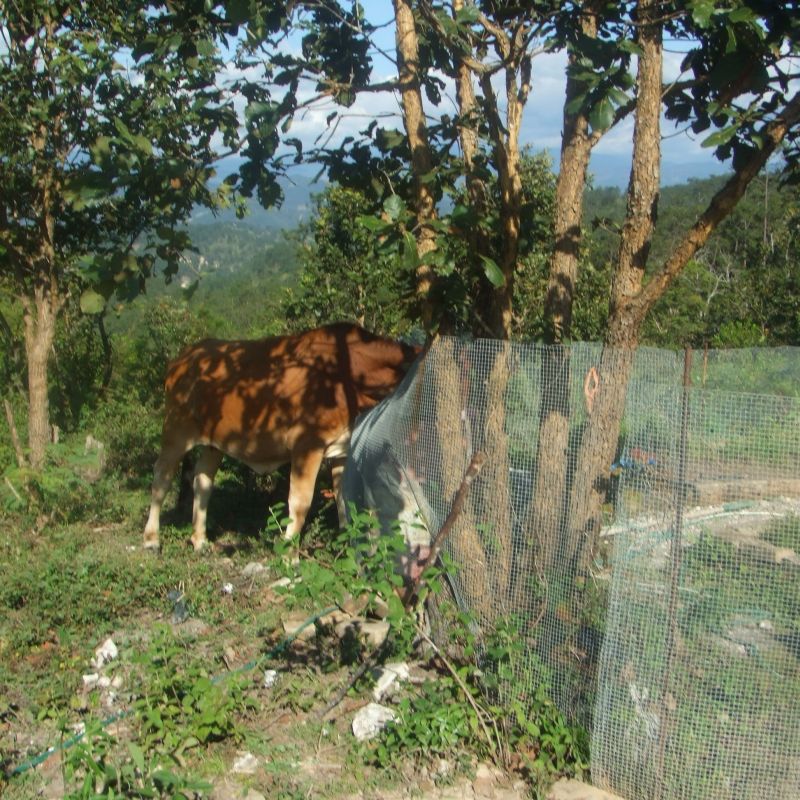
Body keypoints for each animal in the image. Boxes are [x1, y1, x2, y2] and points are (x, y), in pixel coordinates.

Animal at [143, 322, 421, 552]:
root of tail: (185, 356)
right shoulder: (307, 444)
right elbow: (299, 504)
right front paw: (289, 557)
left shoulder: (341, 447)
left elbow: (344, 500)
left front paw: (349, 547)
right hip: (176, 430)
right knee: (162, 477)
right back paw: (151, 539)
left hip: (215, 442)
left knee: (202, 479)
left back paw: (199, 539)